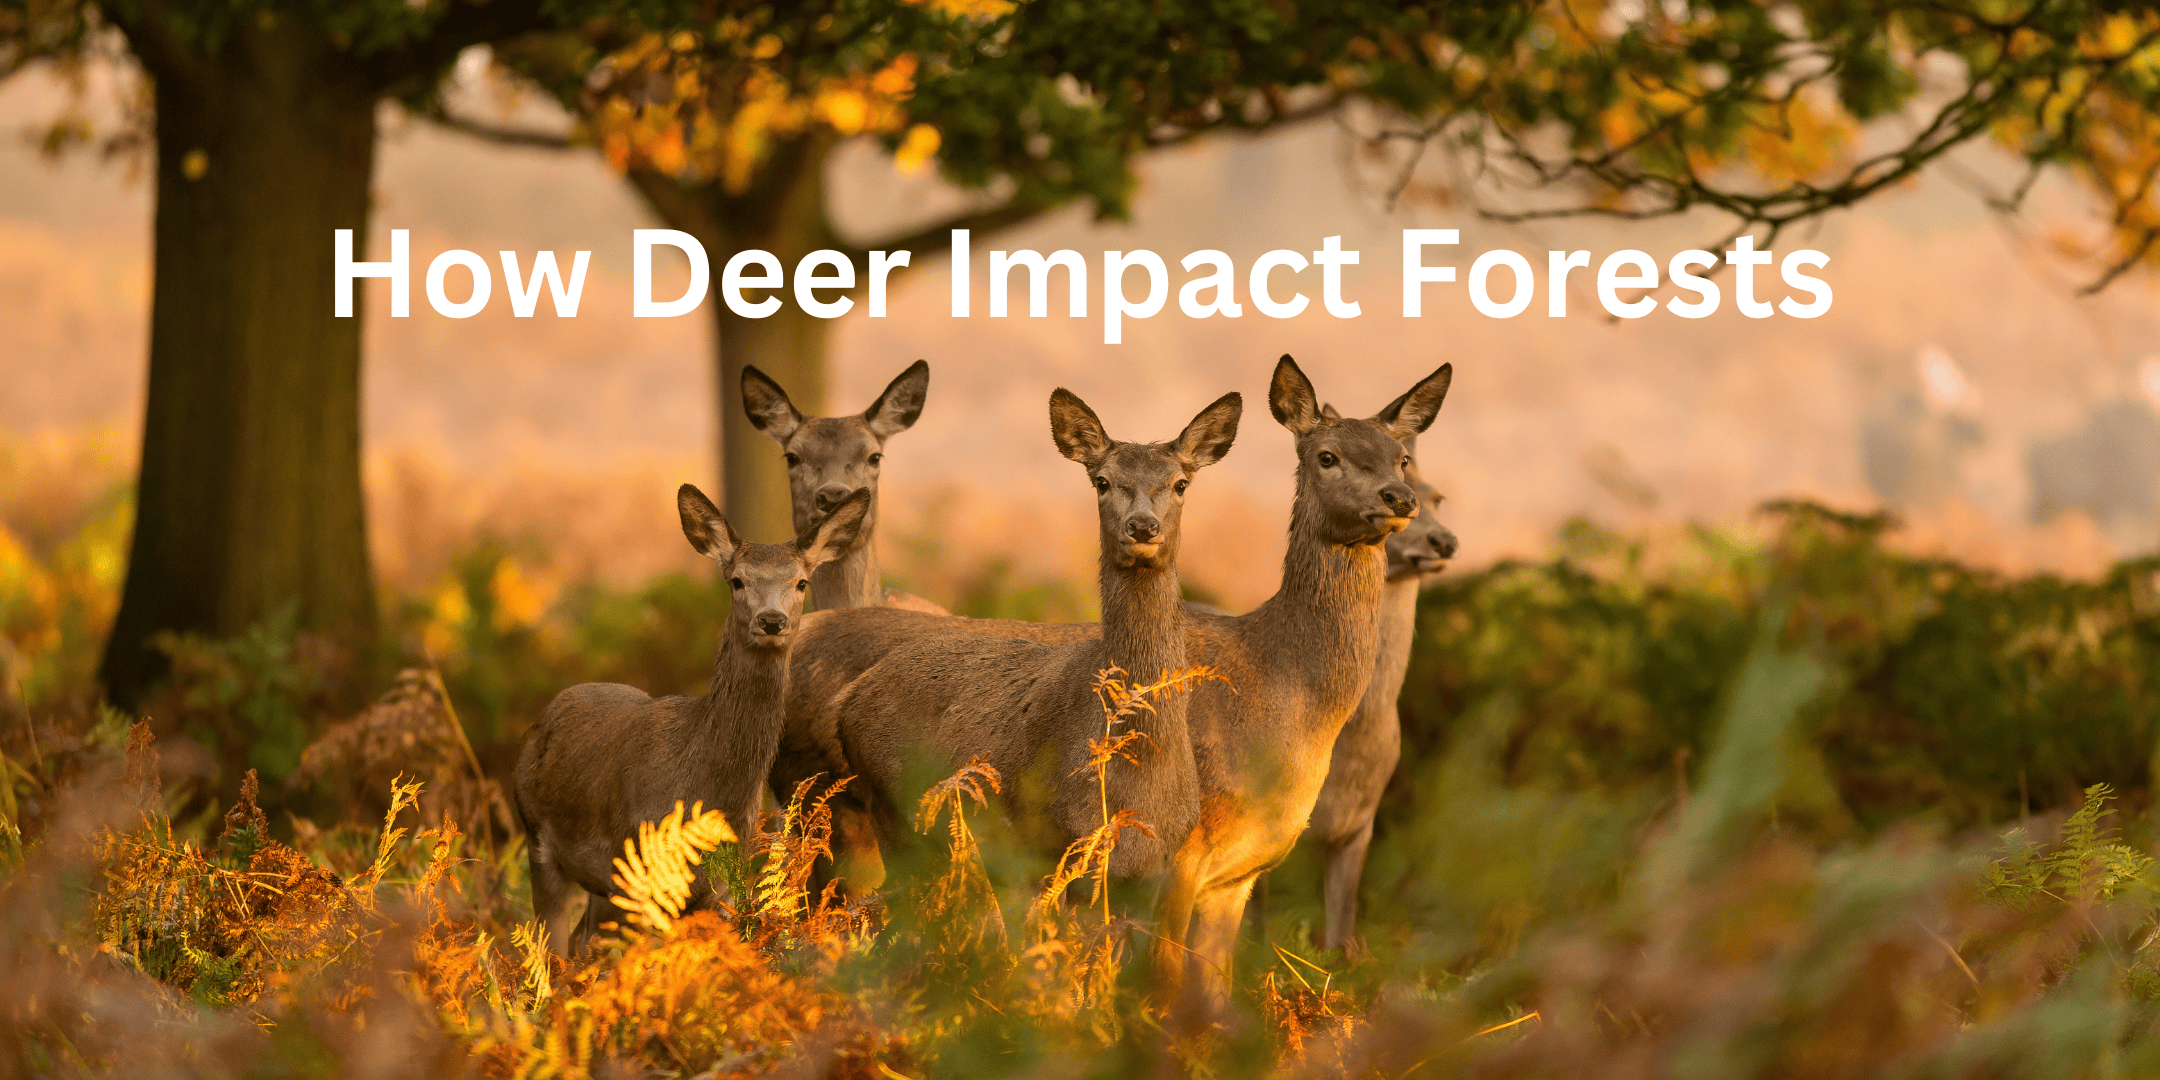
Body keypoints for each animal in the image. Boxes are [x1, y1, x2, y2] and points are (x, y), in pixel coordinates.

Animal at [512, 483, 869, 956]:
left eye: (801, 582)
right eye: (737, 580)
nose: (771, 620)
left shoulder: (718, 887)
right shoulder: (643, 870)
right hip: (538, 838)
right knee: (551, 952)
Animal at [780, 389, 1243, 884]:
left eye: (1181, 483)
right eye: (1102, 481)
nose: (1142, 526)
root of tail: (849, 699)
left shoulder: (1158, 861)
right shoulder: (1045, 842)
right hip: (889, 809)